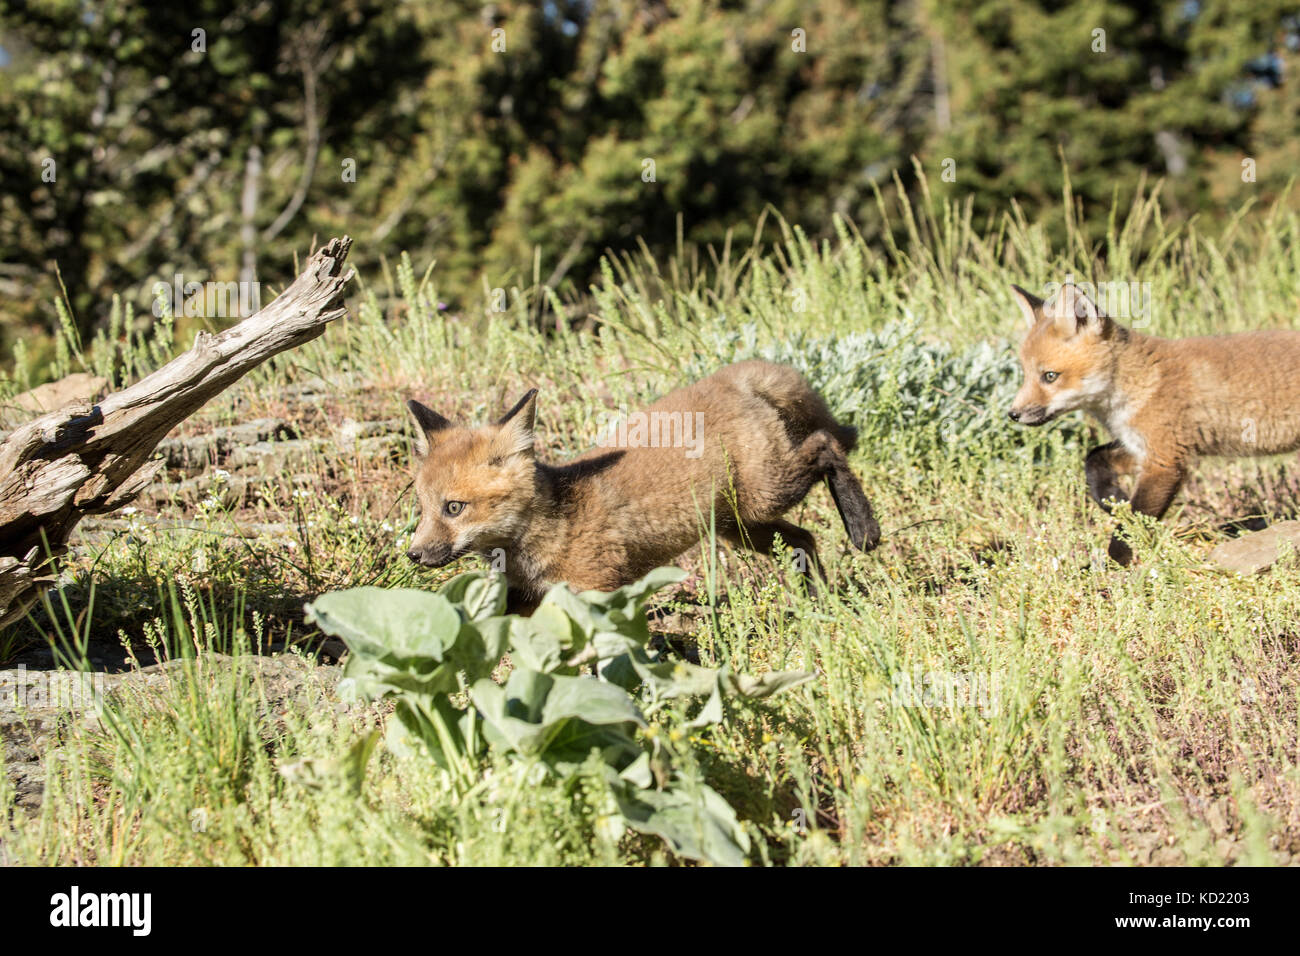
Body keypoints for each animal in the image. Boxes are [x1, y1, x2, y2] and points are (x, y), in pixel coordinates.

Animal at [403, 360, 880, 612]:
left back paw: (863, 529)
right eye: (422, 509)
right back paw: (821, 604)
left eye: (454, 508)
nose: (412, 554)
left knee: (826, 445)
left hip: (767, 494)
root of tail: (730, 375)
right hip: (744, 526)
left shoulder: (598, 591)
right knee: (805, 539)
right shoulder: (525, 599)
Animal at [1008, 281, 1300, 565]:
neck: (1142, 383)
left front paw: (1119, 562)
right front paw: (1113, 499)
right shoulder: (1140, 447)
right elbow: (1094, 458)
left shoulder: (1165, 461)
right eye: (1026, 375)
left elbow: (1134, 524)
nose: (1013, 414)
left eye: (1050, 376)